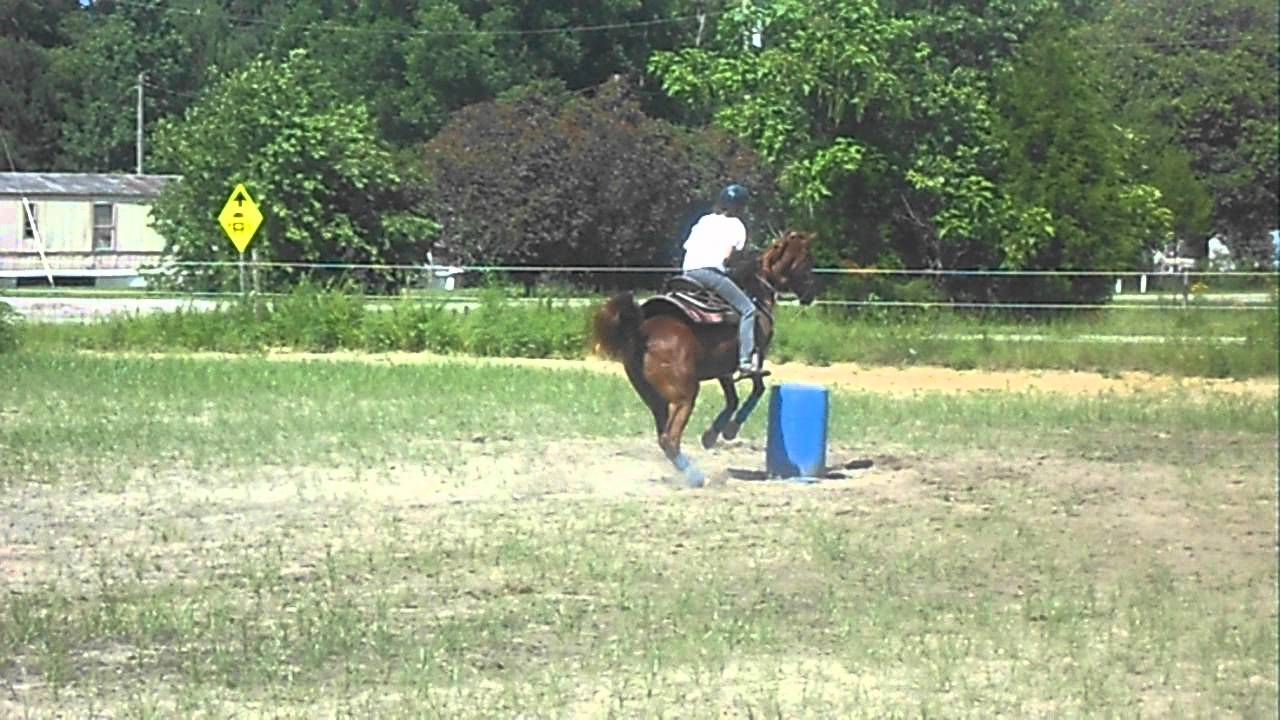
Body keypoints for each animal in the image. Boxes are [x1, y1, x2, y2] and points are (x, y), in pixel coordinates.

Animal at [591, 230, 820, 487]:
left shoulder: (723, 368)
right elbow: (757, 389)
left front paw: (711, 436)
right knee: (670, 439)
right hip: (684, 396)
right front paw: (730, 430)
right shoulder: (755, 357)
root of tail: (642, 331)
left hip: (655, 399)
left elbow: (732, 399)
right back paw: (696, 477)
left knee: (663, 437)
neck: (756, 292)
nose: (811, 293)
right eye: (807, 260)